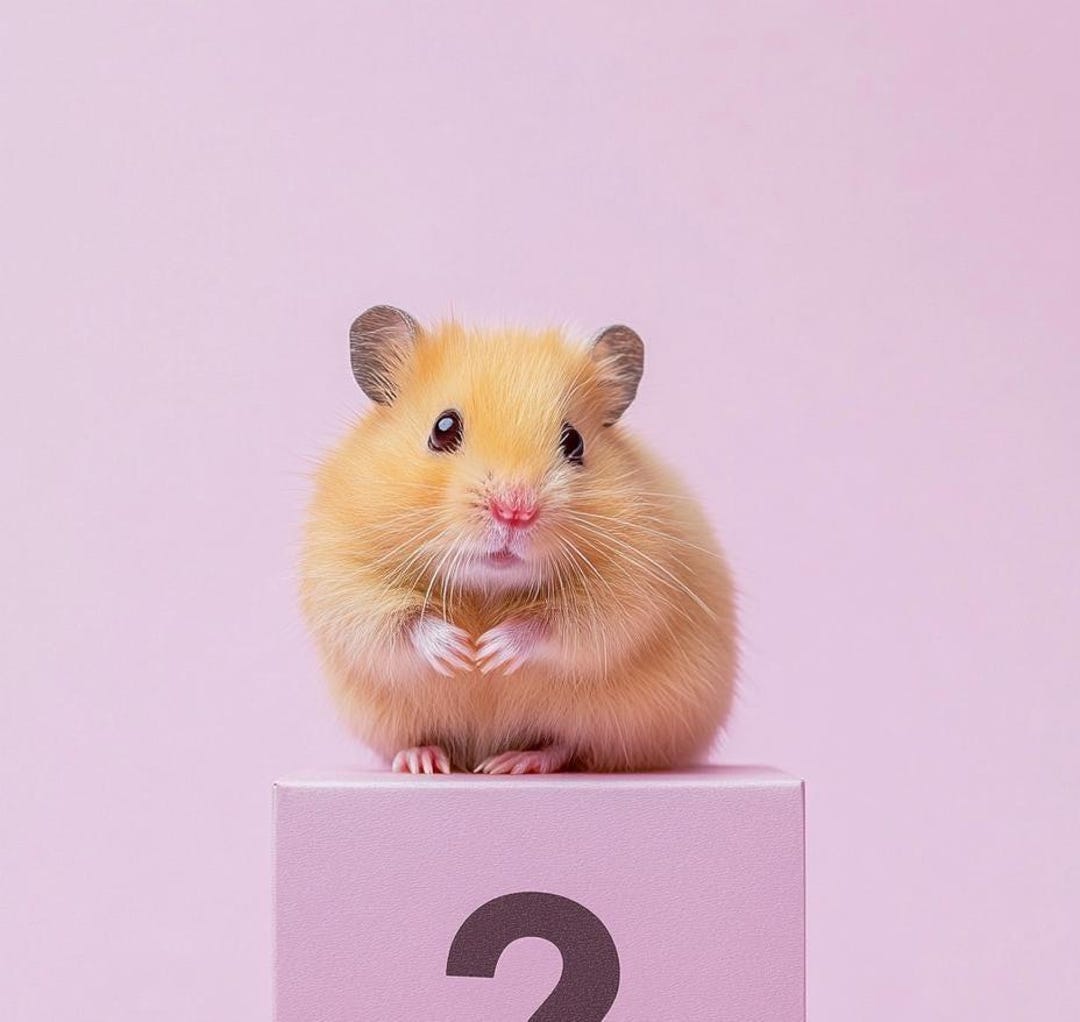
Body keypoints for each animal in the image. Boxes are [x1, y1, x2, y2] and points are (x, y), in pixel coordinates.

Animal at [299, 305, 737, 774]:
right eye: (443, 428)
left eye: (574, 441)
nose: (515, 511)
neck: (489, 590)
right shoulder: (342, 573)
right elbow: (394, 621)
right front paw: (461, 653)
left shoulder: (635, 582)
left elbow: (566, 624)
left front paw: (490, 653)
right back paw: (424, 760)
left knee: (567, 745)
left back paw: (512, 762)